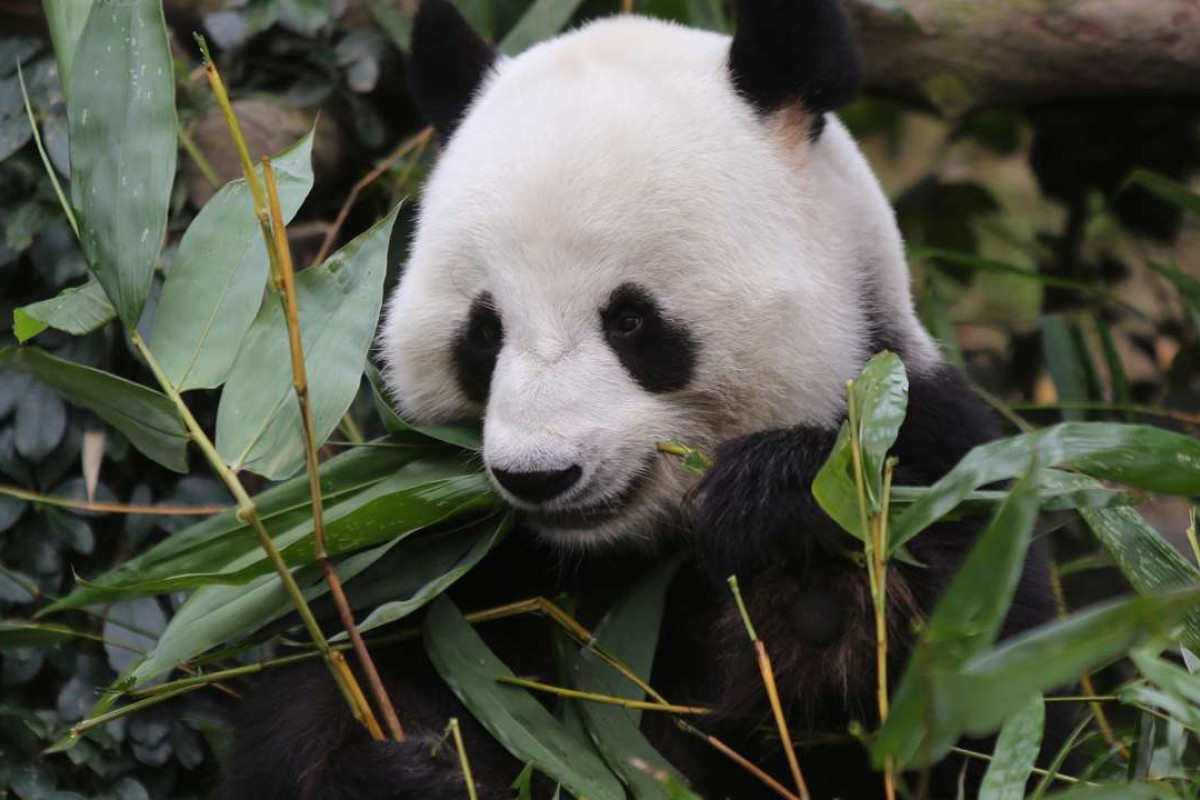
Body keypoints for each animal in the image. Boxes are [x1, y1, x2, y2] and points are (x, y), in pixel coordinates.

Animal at [223, 0, 1067, 797]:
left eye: (630, 320)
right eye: (485, 333)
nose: (540, 475)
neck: (629, 548)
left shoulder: (933, 450)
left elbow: (970, 699)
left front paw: (778, 511)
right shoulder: (441, 562)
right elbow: (333, 679)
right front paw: (412, 769)